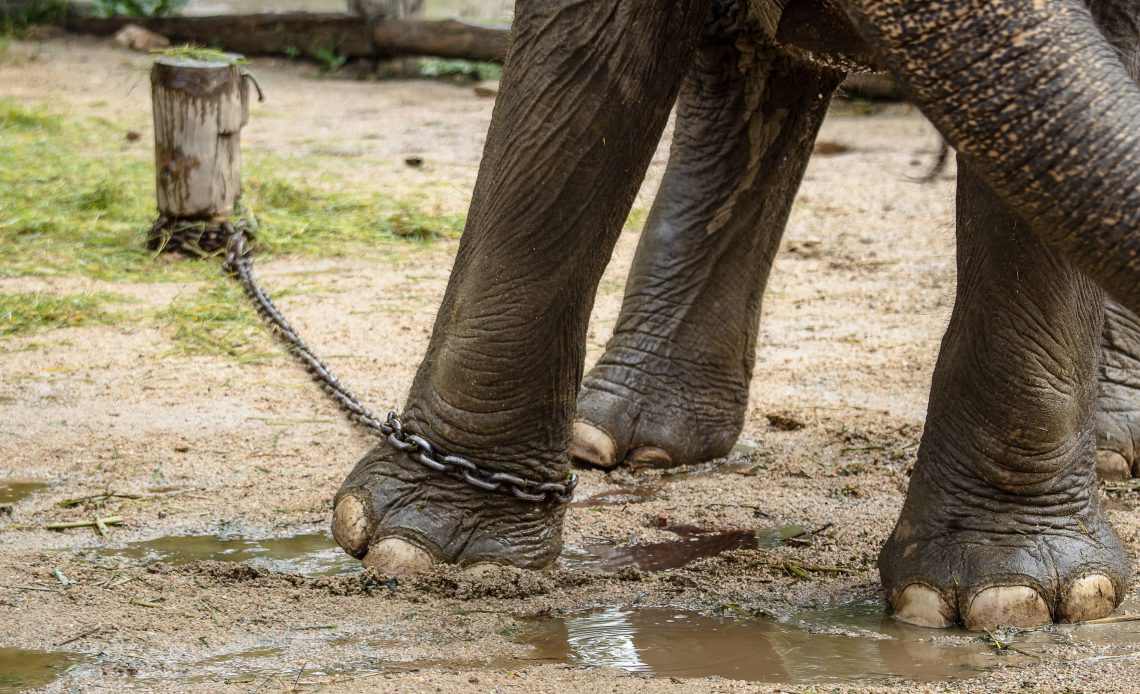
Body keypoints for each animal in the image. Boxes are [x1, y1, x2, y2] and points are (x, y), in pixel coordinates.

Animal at [330, 0, 1140, 631]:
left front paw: (1014, 597)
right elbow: (582, 70)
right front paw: (424, 550)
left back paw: (1109, 450)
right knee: (753, 72)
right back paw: (617, 442)